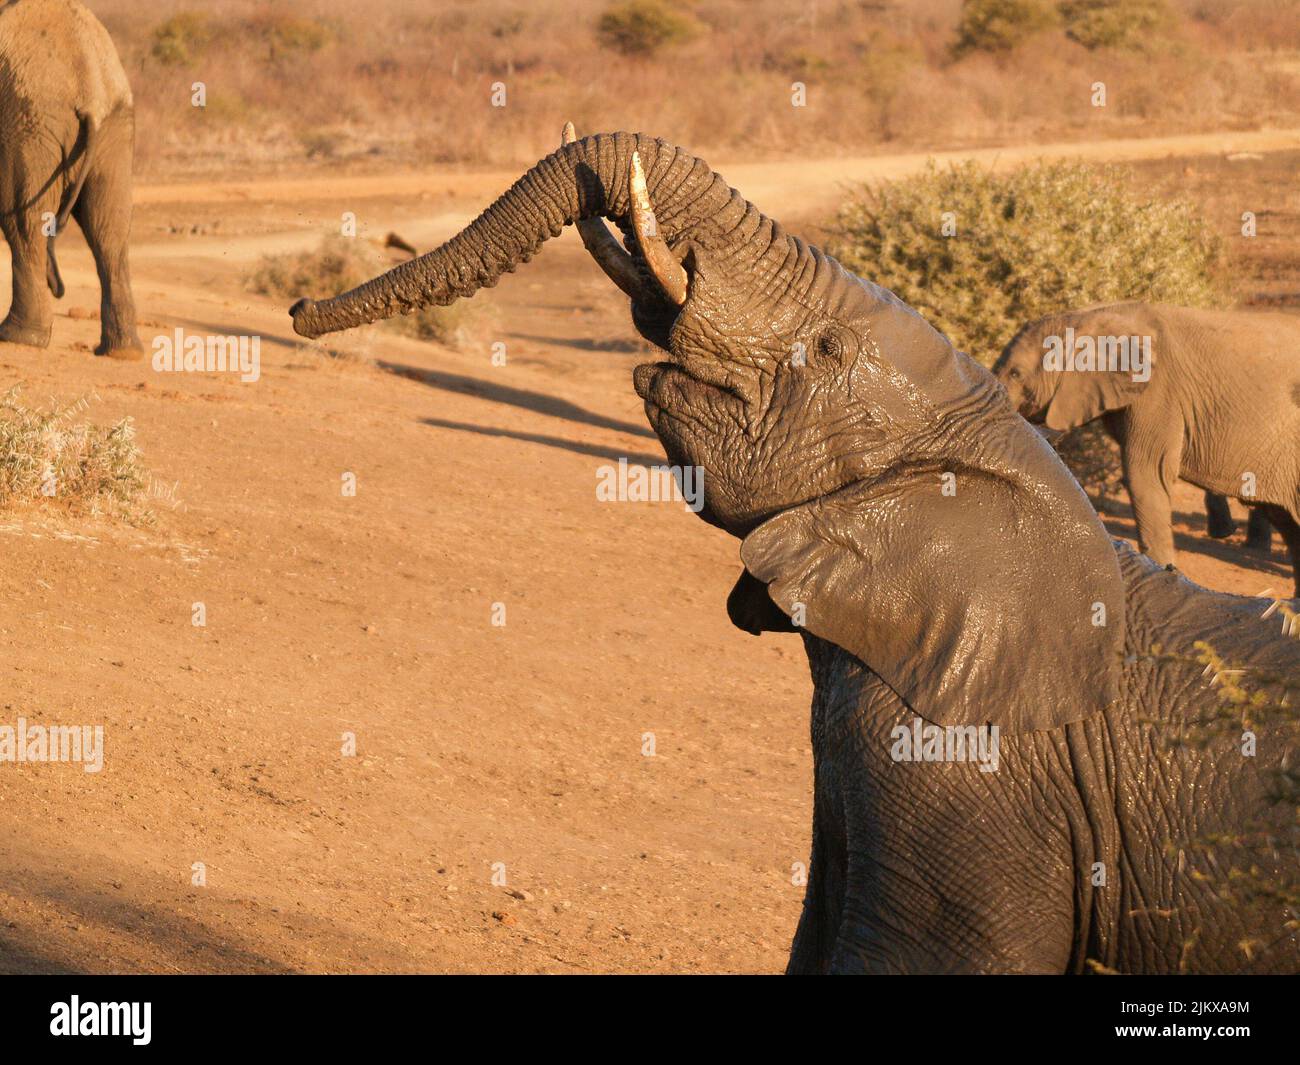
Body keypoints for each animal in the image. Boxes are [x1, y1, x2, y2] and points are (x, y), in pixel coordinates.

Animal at [0, 0, 141, 358]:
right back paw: (122, 352)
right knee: (110, 228)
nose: (58, 287)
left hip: (28, 121)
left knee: (23, 220)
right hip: (115, 125)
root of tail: (89, 85)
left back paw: (17, 337)